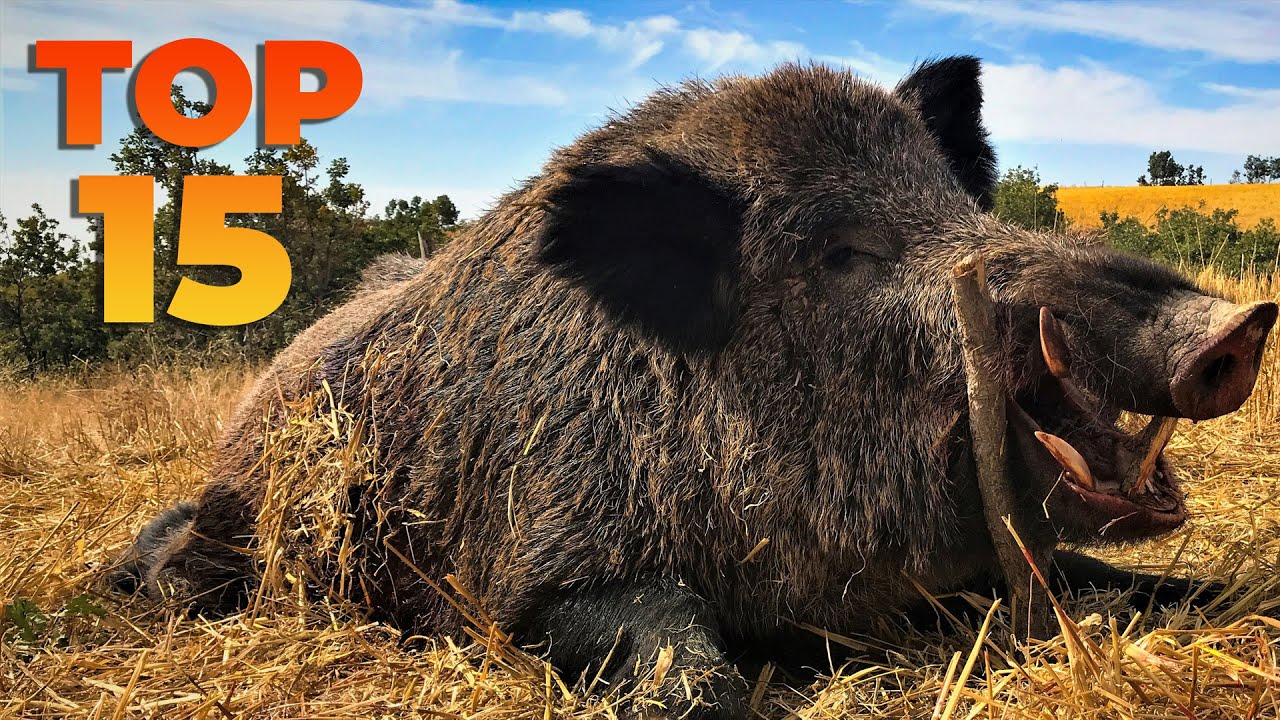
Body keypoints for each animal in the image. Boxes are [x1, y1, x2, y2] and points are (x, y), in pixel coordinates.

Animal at [118, 57, 1276, 719]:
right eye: (842, 252)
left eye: (959, 202)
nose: (1227, 328)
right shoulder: (536, 573)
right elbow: (695, 677)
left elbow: (1151, 583)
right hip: (240, 525)